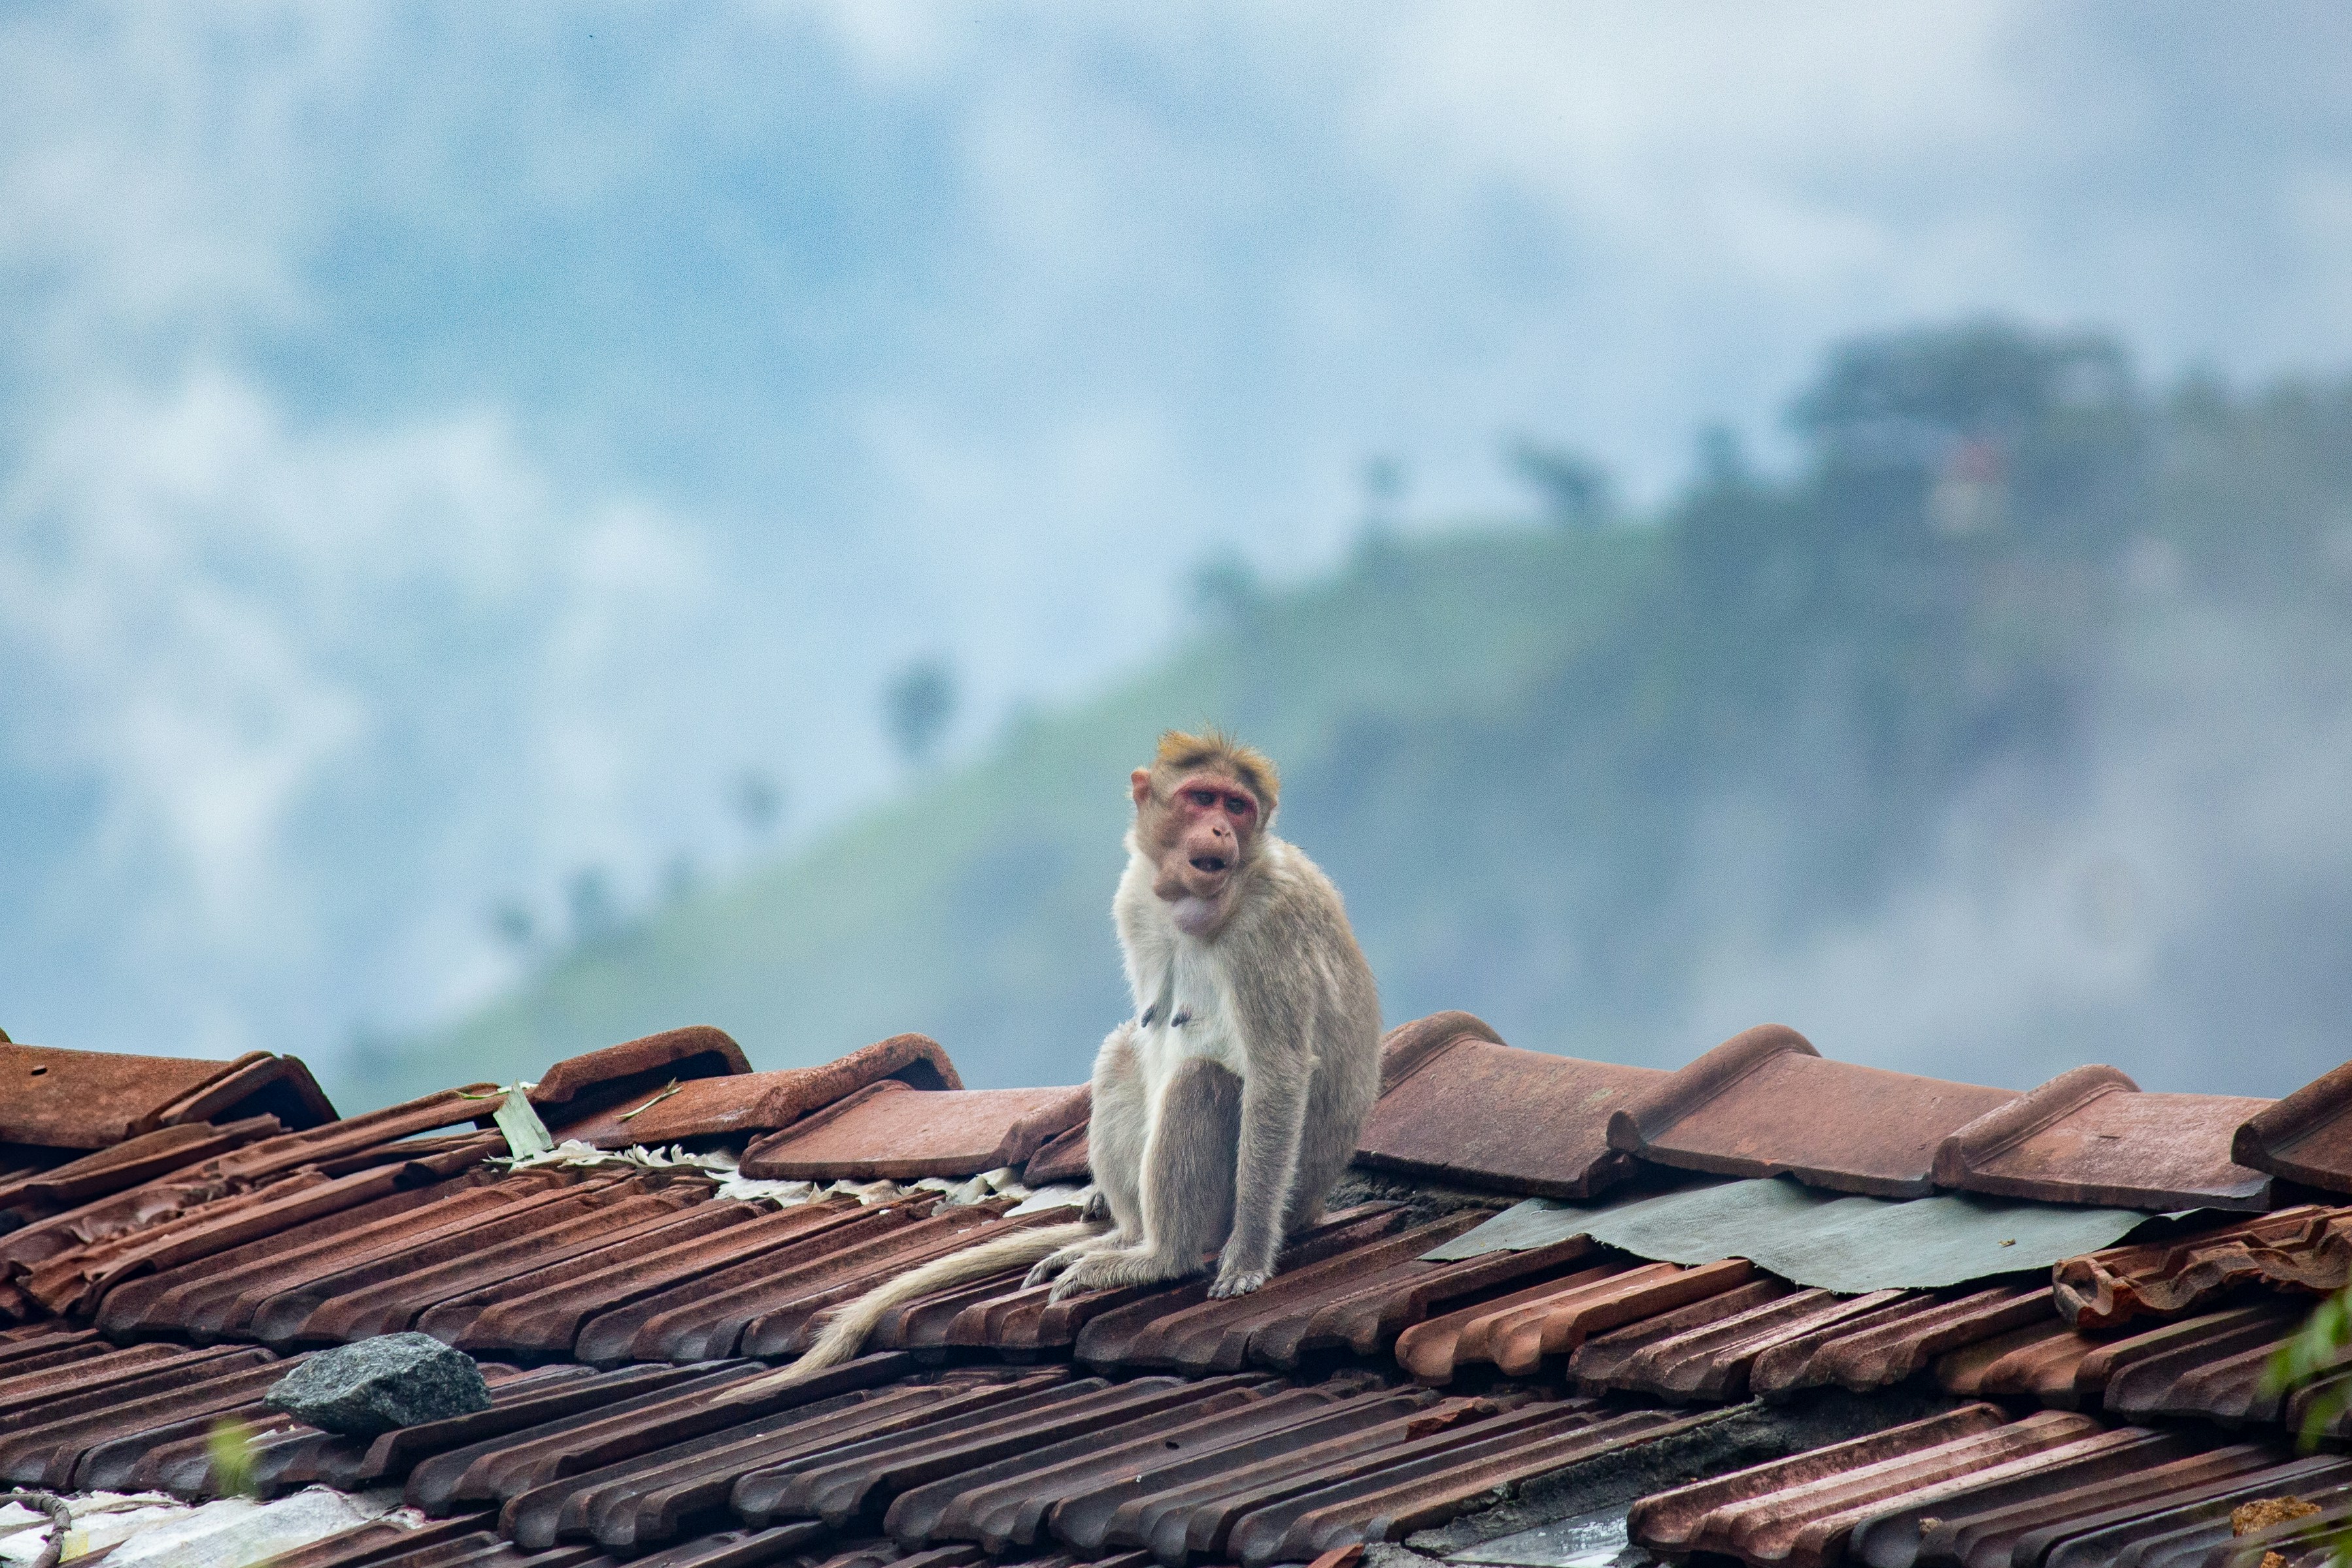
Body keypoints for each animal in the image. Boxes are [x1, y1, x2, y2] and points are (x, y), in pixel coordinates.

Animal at [728, 729, 1381, 1395]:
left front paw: (1247, 1257)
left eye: (1239, 806)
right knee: (1124, 1054)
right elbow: (1148, 1036)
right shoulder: (1134, 895)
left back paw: (1159, 1257)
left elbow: (1277, 1070)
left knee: (1200, 1081)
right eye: (1203, 798)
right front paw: (1098, 1202)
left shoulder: (1269, 922)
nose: (1223, 830)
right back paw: (1126, 1234)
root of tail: (1312, 1206)